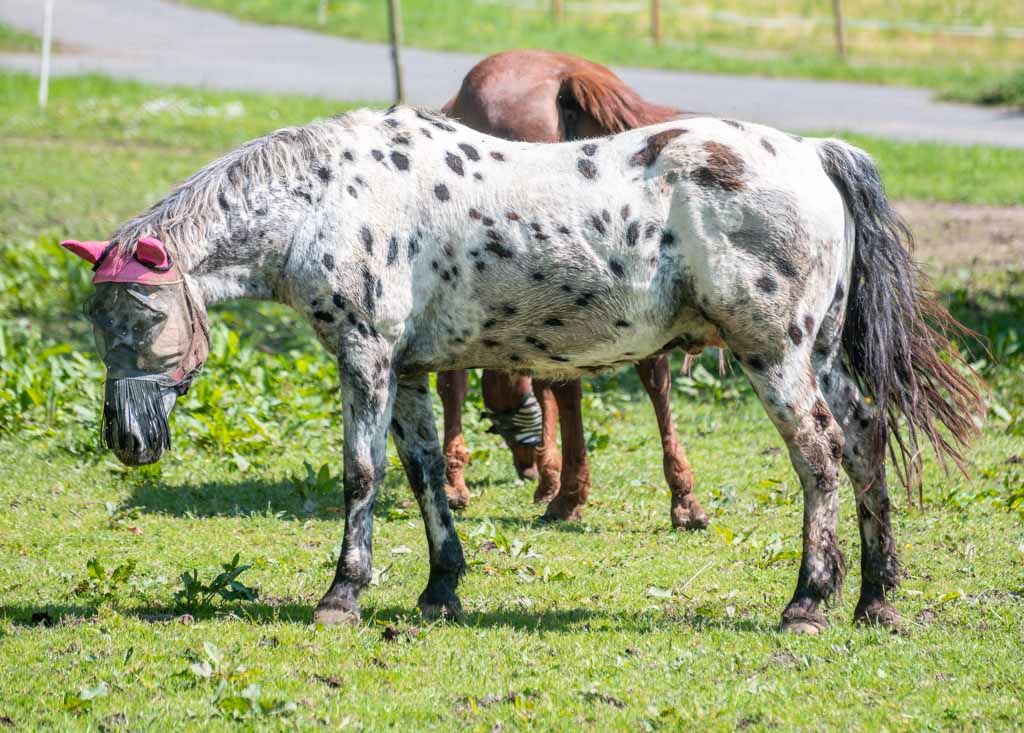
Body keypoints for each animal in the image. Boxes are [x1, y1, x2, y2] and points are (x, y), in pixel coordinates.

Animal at [63, 104, 983, 633]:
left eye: (141, 317)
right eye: (95, 320)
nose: (128, 441)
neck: (326, 197)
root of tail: (813, 153)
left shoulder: (364, 353)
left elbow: (361, 474)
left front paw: (341, 595)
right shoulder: (406, 370)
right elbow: (422, 473)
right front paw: (441, 588)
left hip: (774, 355)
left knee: (819, 457)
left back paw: (808, 601)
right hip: (818, 352)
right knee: (864, 440)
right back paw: (876, 597)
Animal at [436, 50, 710, 530]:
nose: (524, 465)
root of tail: (564, 78)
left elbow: (453, 384)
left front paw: (456, 483)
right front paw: (548, 474)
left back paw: (568, 496)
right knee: (653, 374)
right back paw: (681, 498)